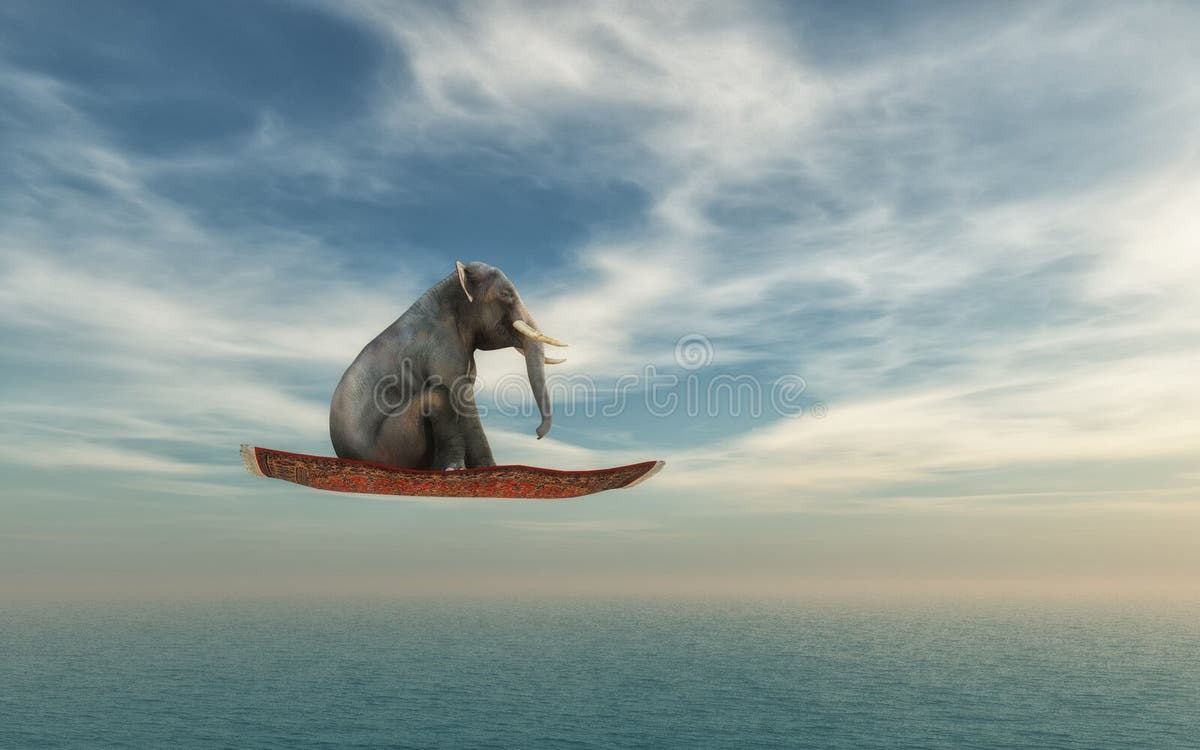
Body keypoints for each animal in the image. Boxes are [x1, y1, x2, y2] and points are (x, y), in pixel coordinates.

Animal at [329, 261, 567, 470]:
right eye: (506, 293)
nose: (537, 433)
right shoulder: (442, 351)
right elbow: (460, 396)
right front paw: (484, 468)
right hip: (390, 445)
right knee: (438, 395)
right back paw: (450, 468)